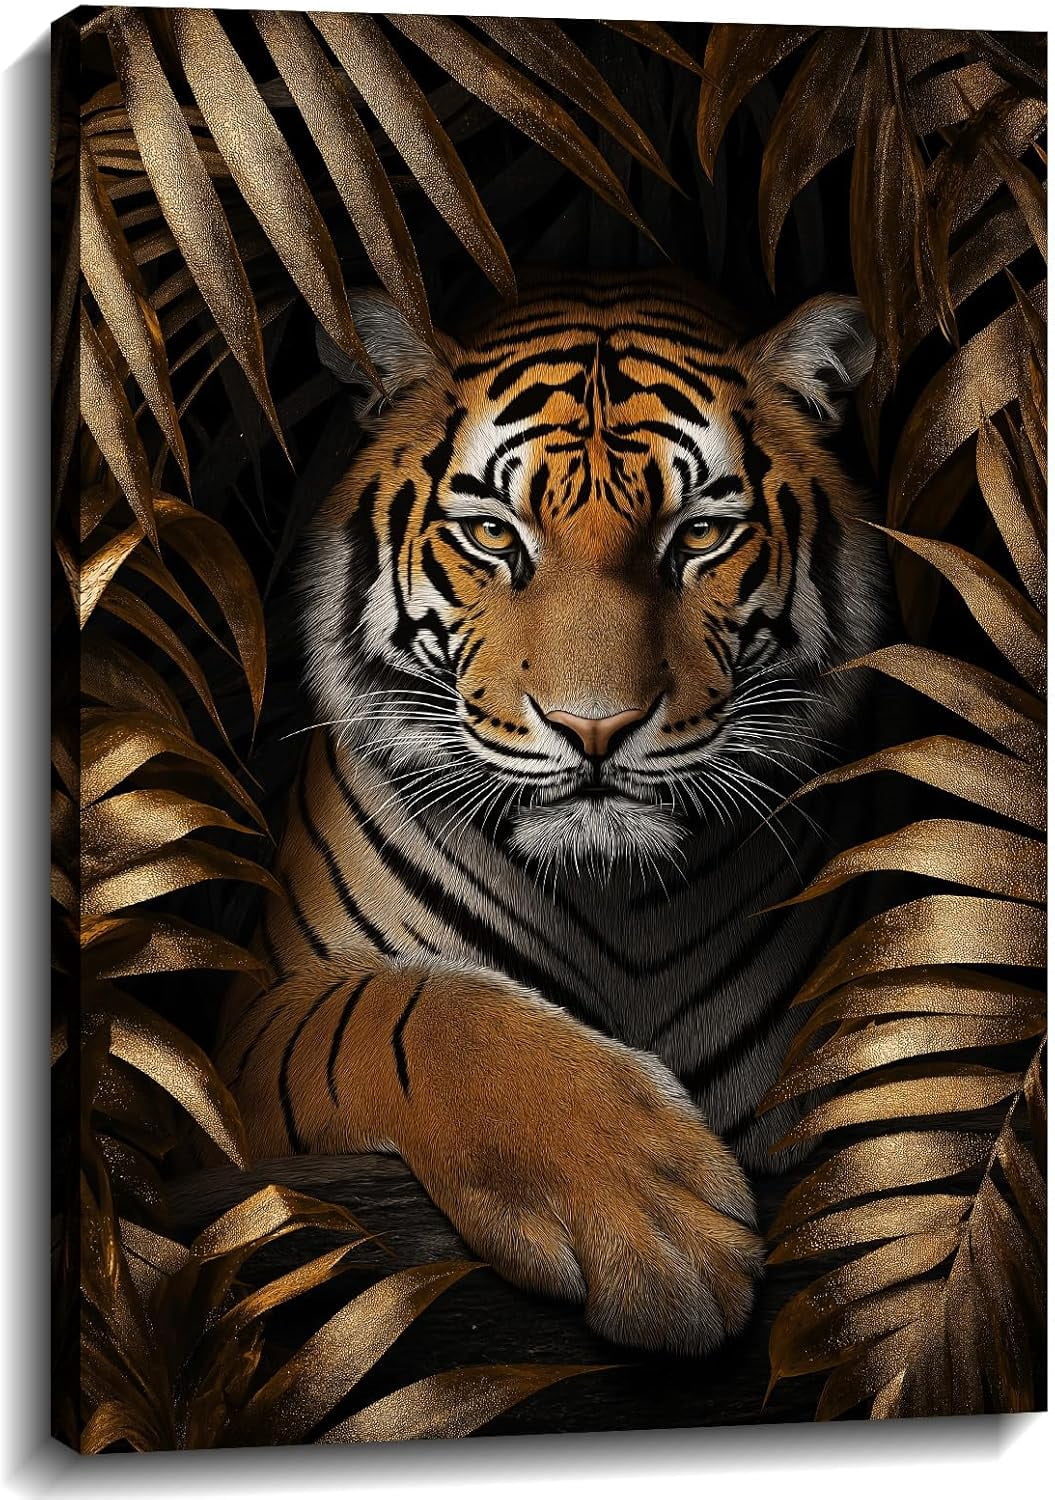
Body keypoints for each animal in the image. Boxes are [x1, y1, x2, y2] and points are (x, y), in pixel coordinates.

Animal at [216, 271, 885, 1357]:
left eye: (698, 534)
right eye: (493, 533)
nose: (594, 727)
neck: (618, 899)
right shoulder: (249, 1029)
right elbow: (422, 1012)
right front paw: (652, 1229)